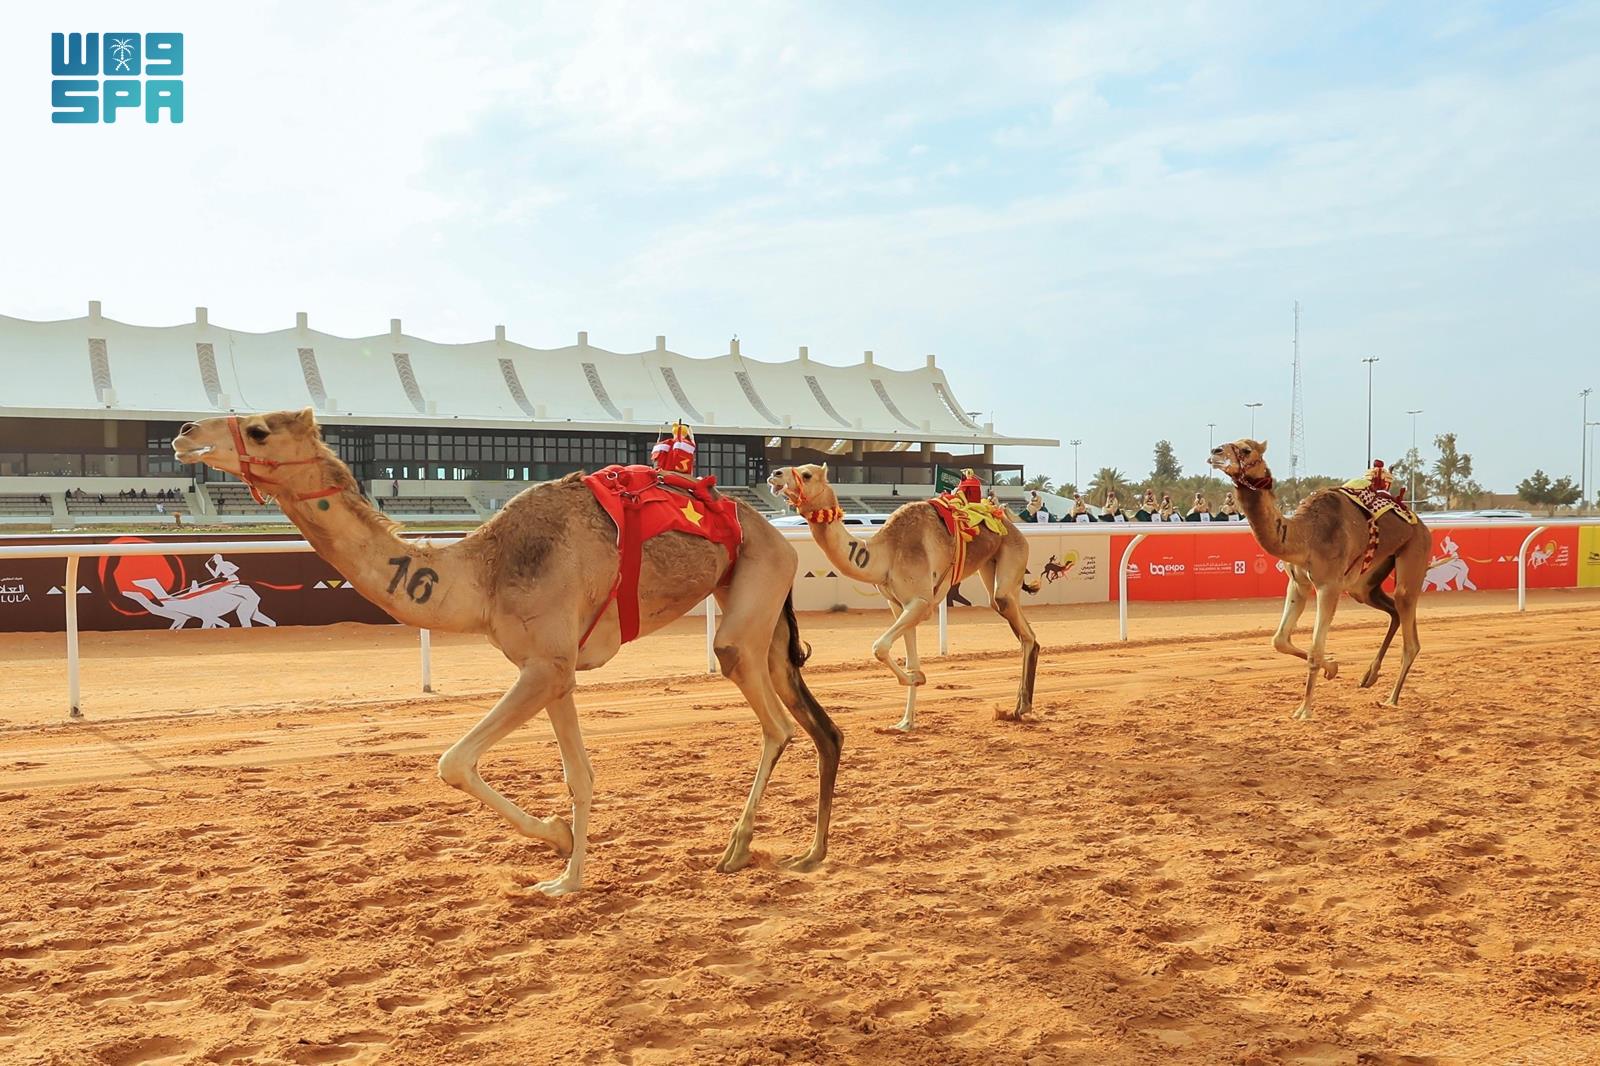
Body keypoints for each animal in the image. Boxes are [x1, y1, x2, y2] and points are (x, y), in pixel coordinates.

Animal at [173, 409, 841, 896]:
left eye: (259, 429)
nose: (184, 435)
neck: (481, 573)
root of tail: (775, 529)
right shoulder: (553, 669)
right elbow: (579, 774)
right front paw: (567, 866)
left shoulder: (545, 664)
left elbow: (453, 761)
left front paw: (560, 852)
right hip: (761, 606)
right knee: (818, 723)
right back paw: (811, 854)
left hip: (755, 586)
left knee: (774, 719)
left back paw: (738, 848)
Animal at [767, 463, 1038, 731]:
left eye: (806, 475)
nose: (774, 474)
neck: (884, 554)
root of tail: (1008, 521)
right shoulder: (898, 604)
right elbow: (909, 659)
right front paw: (905, 721)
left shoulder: (921, 602)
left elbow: (880, 647)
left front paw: (915, 679)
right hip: (990, 565)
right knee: (1011, 616)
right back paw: (1017, 707)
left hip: (1014, 552)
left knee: (1018, 622)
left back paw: (1021, 708)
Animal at [1208, 439, 1429, 720]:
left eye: (1247, 449)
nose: (1215, 453)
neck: (1305, 535)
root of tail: (1422, 525)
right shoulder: (1298, 583)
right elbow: (1279, 640)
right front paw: (1332, 668)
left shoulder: (1329, 586)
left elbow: (1315, 649)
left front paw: (1304, 710)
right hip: (1363, 585)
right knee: (1393, 611)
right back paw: (1369, 676)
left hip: (1414, 554)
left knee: (1409, 629)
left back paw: (1391, 699)